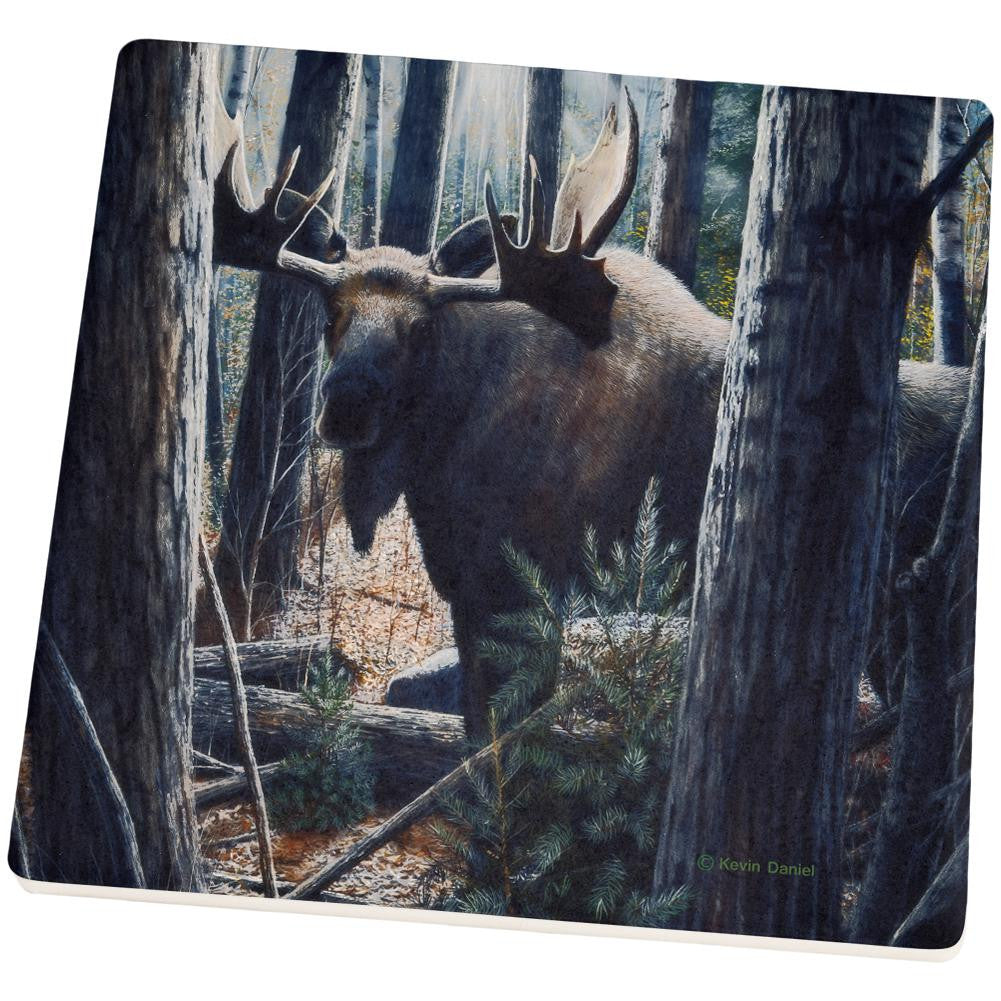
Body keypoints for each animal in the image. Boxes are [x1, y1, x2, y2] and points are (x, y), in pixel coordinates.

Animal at [213, 93, 970, 741]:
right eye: (330, 315)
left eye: (421, 327)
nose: (345, 405)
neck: (439, 442)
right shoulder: (467, 579)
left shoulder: (520, 581)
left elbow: (498, 729)